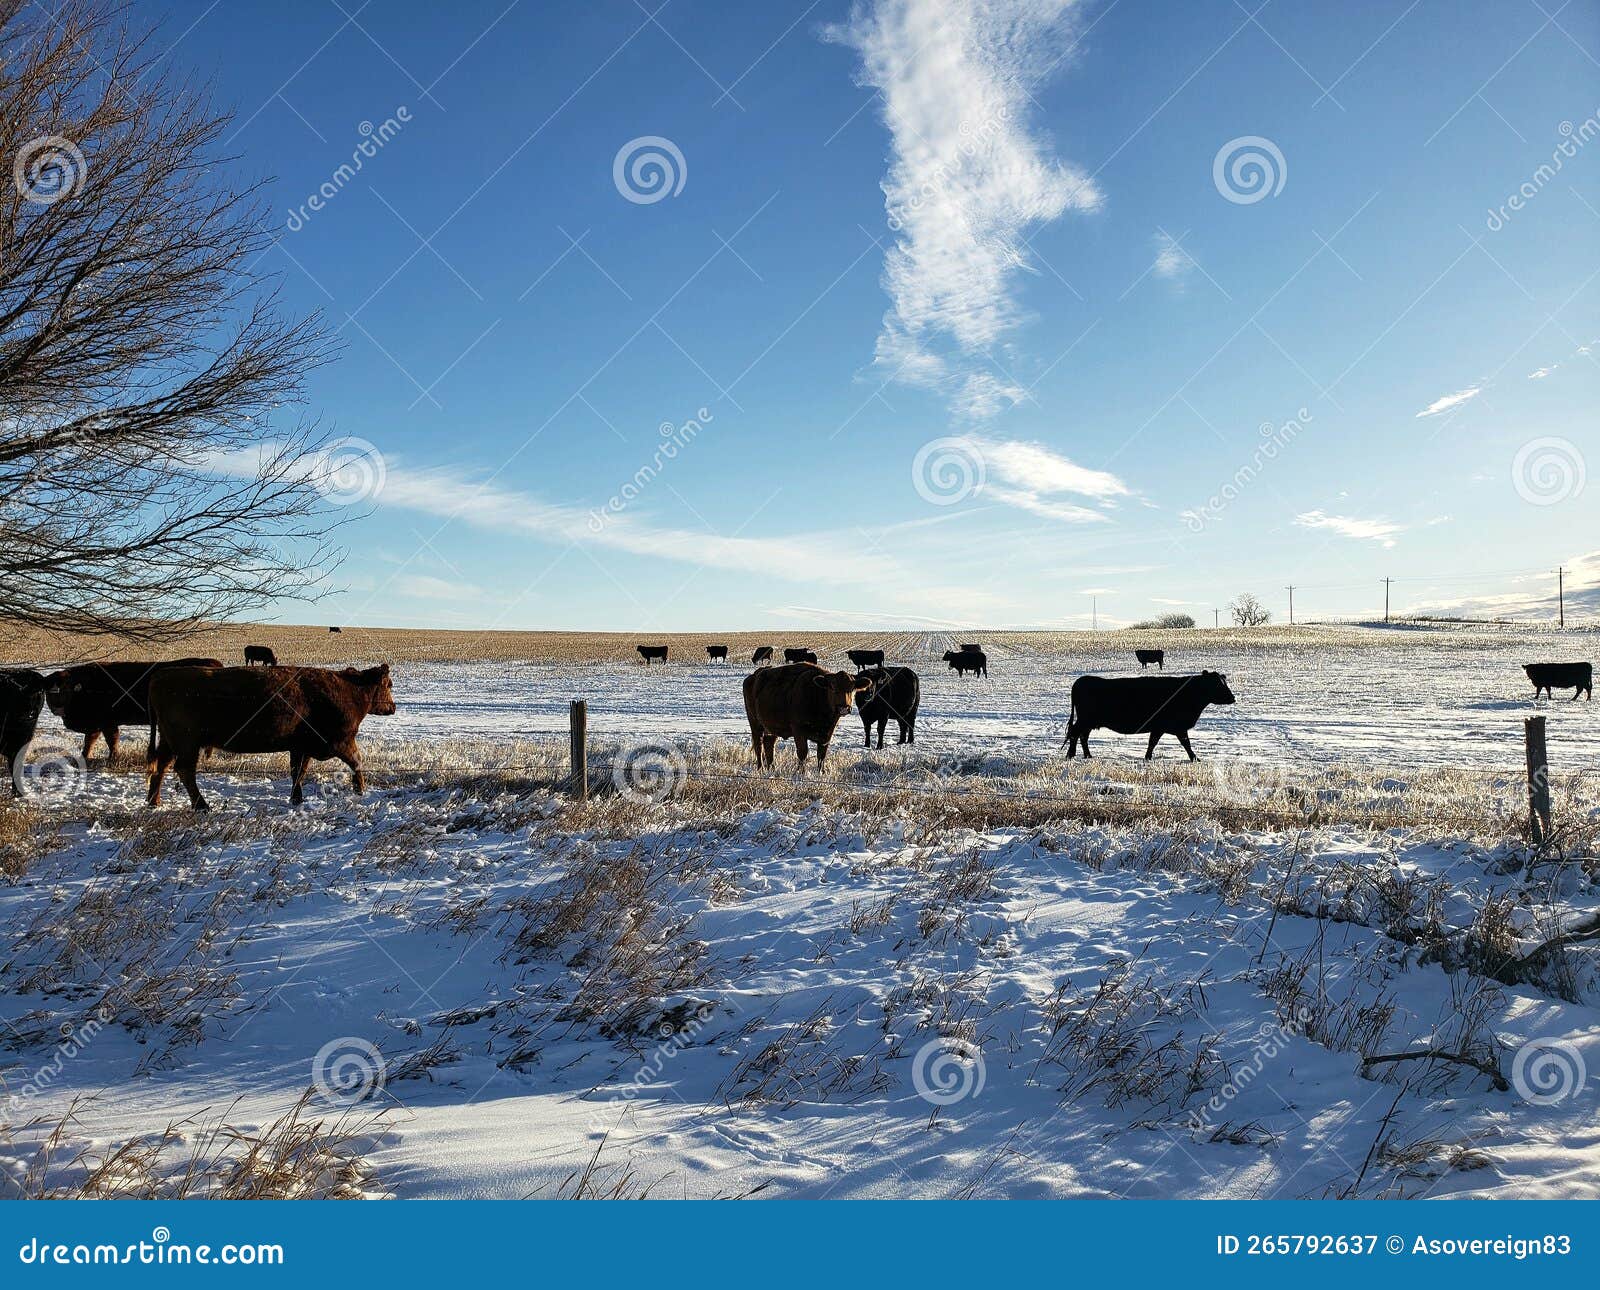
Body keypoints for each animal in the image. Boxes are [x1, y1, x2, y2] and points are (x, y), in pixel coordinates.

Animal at [44, 659, 225, 765]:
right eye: (48, 690)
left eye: (66, 689)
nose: (57, 707)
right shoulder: (96, 725)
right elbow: (90, 742)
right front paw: (84, 756)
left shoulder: (107, 723)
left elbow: (112, 741)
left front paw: (112, 758)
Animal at [147, 664, 396, 810]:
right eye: (389, 685)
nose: (393, 707)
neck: (350, 690)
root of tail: (160, 678)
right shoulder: (341, 742)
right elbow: (357, 762)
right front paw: (360, 790)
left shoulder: (301, 747)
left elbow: (298, 772)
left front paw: (296, 799)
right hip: (186, 743)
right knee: (184, 770)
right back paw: (202, 806)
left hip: (169, 742)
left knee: (161, 766)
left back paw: (154, 802)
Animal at [742, 663, 872, 772]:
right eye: (832, 687)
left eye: (852, 688)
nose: (844, 707)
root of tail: (752, 677)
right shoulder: (799, 730)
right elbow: (802, 752)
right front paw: (801, 772)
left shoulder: (827, 734)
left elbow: (821, 755)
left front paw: (821, 772)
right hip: (755, 724)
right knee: (758, 746)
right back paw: (760, 769)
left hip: (771, 728)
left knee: (769, 745)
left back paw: (771, 769)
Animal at [1063, 671, 1236, 760]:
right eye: (1217, 684)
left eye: (1224, 682)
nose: (1233, 698)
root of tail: (1082, 680)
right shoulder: (1174, 727)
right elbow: (1184, 743)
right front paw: (1195, 758)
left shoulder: (1163, 727)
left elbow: (1155, 742)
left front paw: (1147, 757)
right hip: (1085, 720)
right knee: (1075, 733)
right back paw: (1070, 755)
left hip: (1090, 722)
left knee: (1082, 736)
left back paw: (1088, 755)